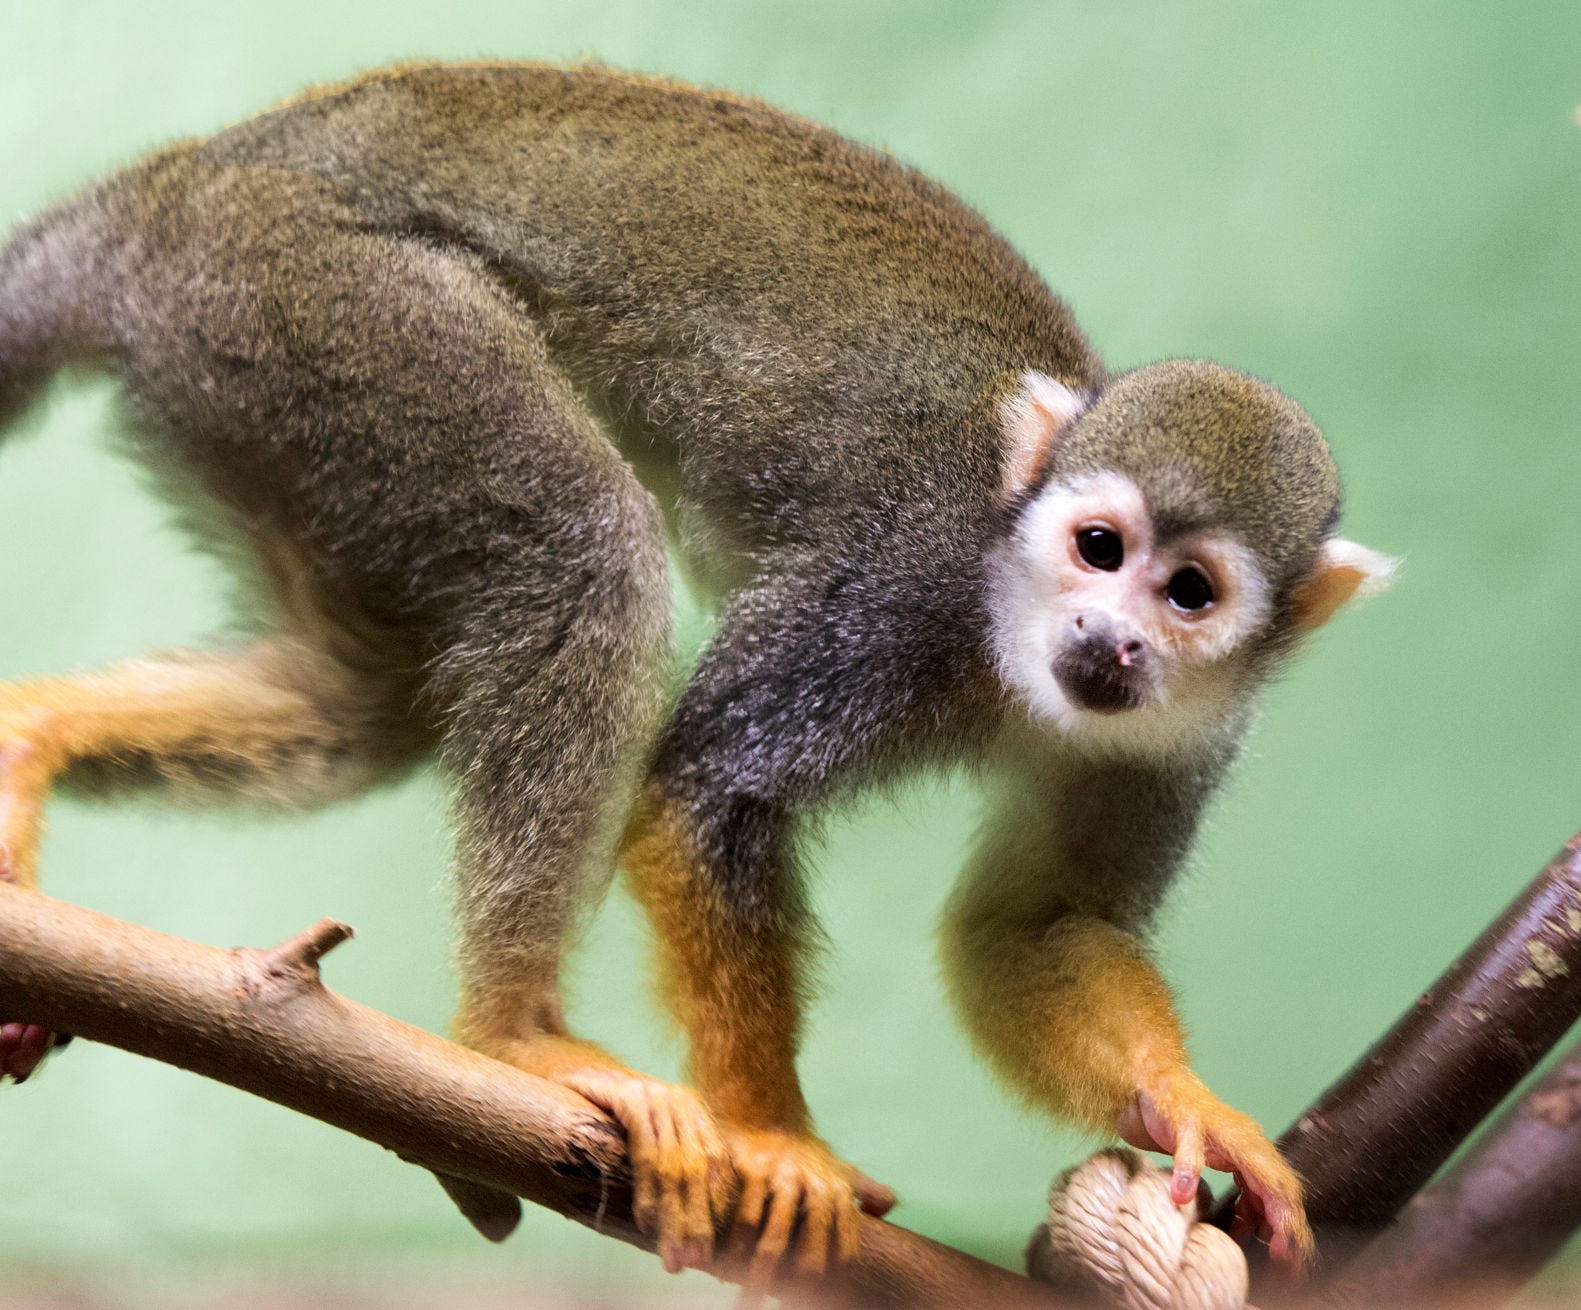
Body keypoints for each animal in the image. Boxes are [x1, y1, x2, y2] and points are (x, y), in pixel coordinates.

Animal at [0, 62, 1393, 1285]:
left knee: (369, 704)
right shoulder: (895, 590)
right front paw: (774, 1137)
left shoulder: (1188, 737)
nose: (1110, 639)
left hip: (241, 380)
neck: (1004, 615)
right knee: (580, 547)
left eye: (1190, 592)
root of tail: (175, 179)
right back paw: (512, 1037)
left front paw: (1185, 1102)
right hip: (313, 298)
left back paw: (30, 734)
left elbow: (1037, 924)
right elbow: (704, 783)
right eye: (1098, 547)